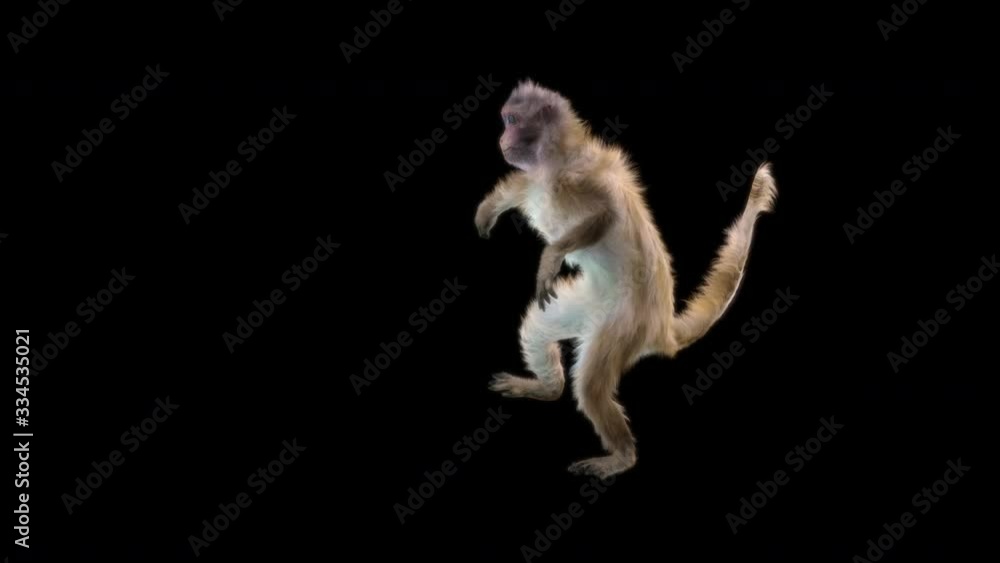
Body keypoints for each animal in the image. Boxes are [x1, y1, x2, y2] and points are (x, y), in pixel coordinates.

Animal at [474, 80, 777, 478]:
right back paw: (547, 388)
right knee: (538, 329)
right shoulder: (539, 181)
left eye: (511, 121)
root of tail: (662, 325)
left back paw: (621, 457)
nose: (501, 138)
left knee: (591, 385)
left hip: (627, 323)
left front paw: (552, 257)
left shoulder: (575, 180)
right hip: (588, 306)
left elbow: (604, 215)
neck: (556, 157)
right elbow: (518, 189)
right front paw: (487, 212)